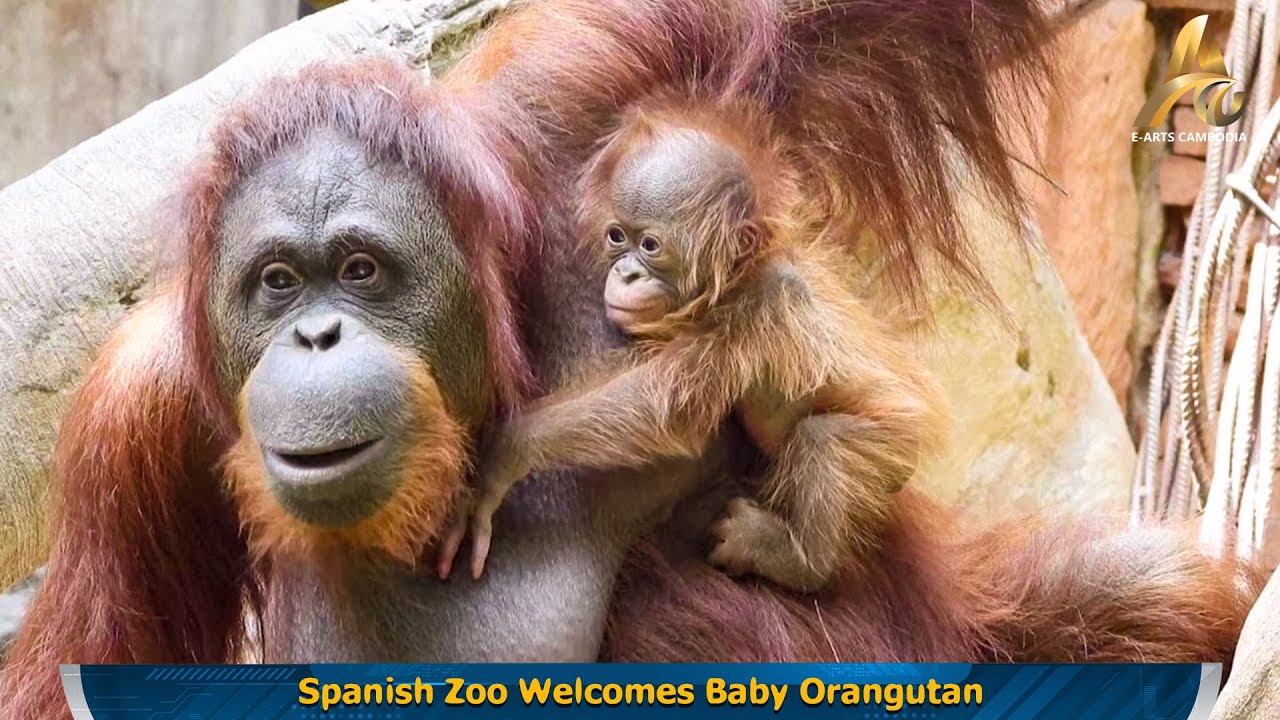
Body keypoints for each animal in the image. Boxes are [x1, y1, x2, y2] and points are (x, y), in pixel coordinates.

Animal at [439, 101, 944, 592]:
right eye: (617, 236)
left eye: (650, 245)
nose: (625, 273)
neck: (737, 277)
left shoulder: (755, 312)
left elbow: (666, 411)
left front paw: (503, 455)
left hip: (889, 443)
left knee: (824, 438)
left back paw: (794, 559)